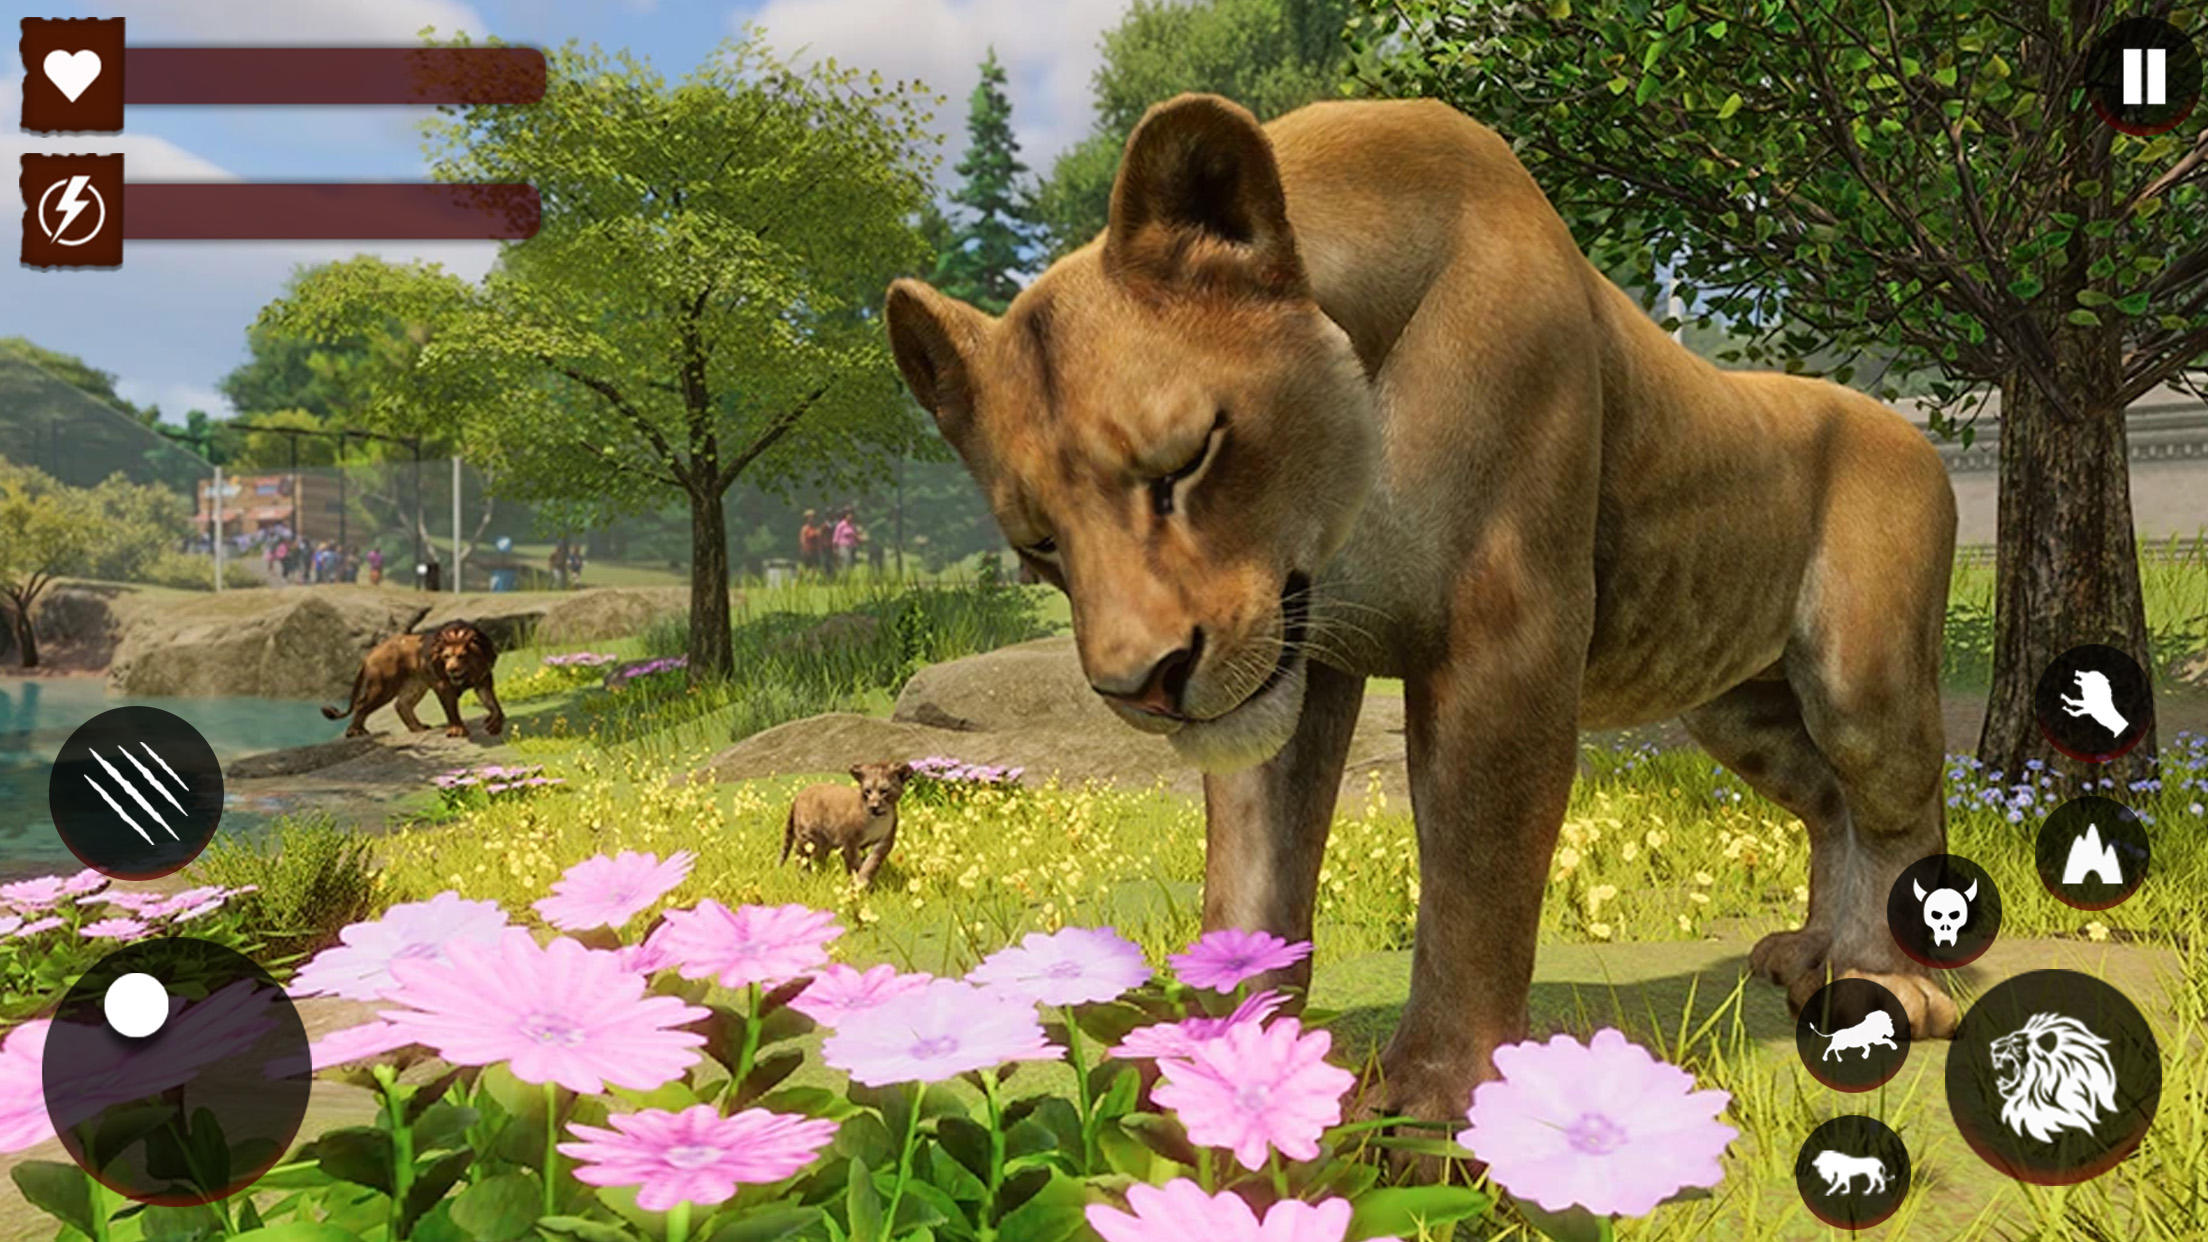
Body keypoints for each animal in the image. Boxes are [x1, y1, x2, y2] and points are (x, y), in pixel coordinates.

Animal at [322, 620, 504, 740]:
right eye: (446, 657)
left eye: (461, 656)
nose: (451, 669)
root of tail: (372, 651)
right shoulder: (443, 685)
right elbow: (451, 710)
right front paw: (457, 730)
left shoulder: (484, 679)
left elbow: (493, 704)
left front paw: (495, 724)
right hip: (383, 687)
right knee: (361, 704)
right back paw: (355, 731)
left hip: (416, 685)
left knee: (401, 704)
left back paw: (418, 728)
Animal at [884, 94, 1958, 1124]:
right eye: (1039, 541)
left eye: (1187, 460)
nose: (1138, 685)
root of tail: (1911, 433)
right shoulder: (1293, 665)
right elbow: (1251, 877)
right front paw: (1212, 1063)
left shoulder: (1504, 646)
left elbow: (1475, 880)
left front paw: (1432, 1106)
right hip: (1740, 712)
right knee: (1829, 803)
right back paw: (1816, 955)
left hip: (1861, 688)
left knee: (1896, 801)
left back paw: (1890, 984)